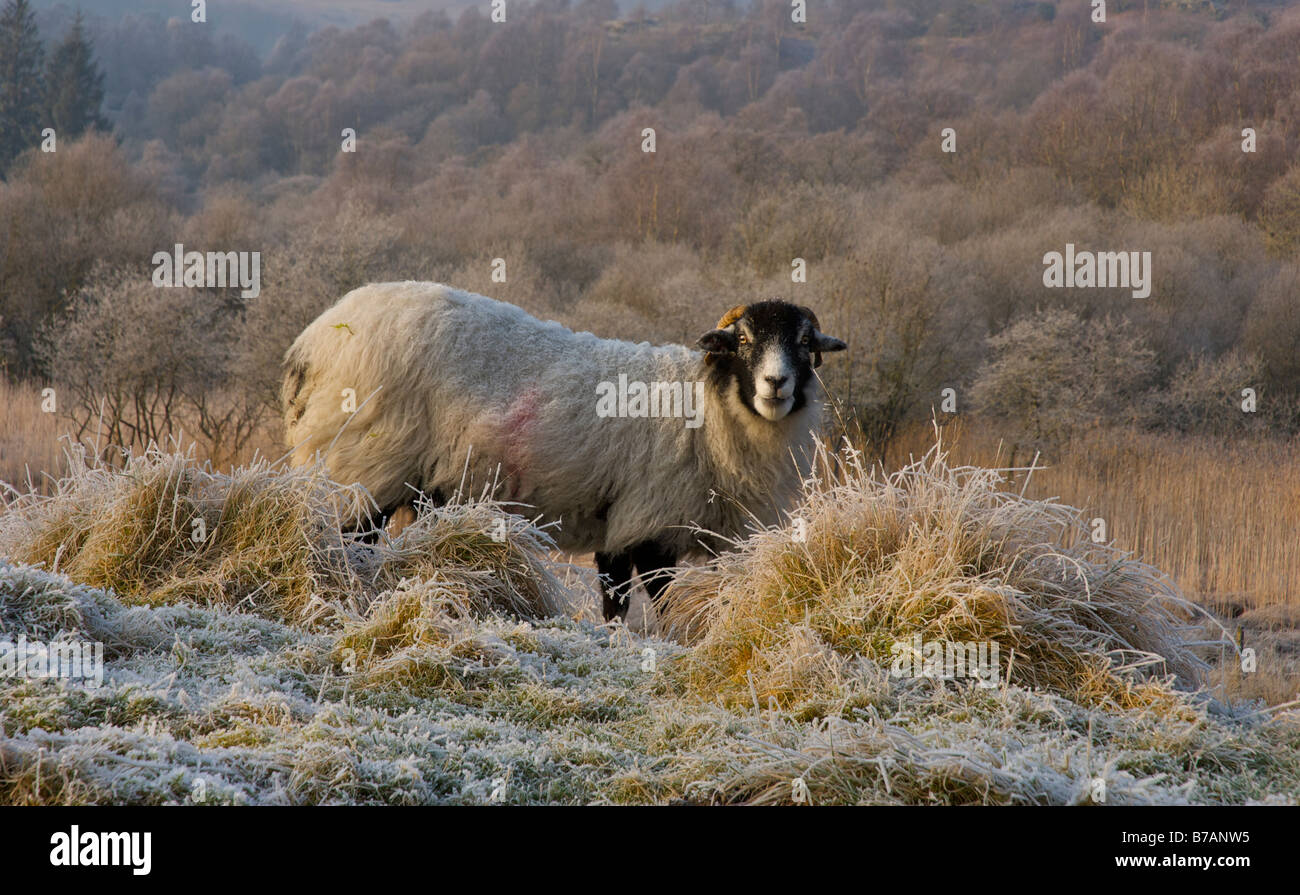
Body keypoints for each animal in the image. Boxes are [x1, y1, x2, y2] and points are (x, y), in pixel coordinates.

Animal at [281, 282, 846, 621]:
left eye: (803, 343)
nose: (776, 384)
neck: (704, 406)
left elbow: (616, 598)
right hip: (362, 464)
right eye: (744, 341)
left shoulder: (621, 520)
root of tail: (310, 344)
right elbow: (648, 600)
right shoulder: (649, 519)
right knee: (349, 542)